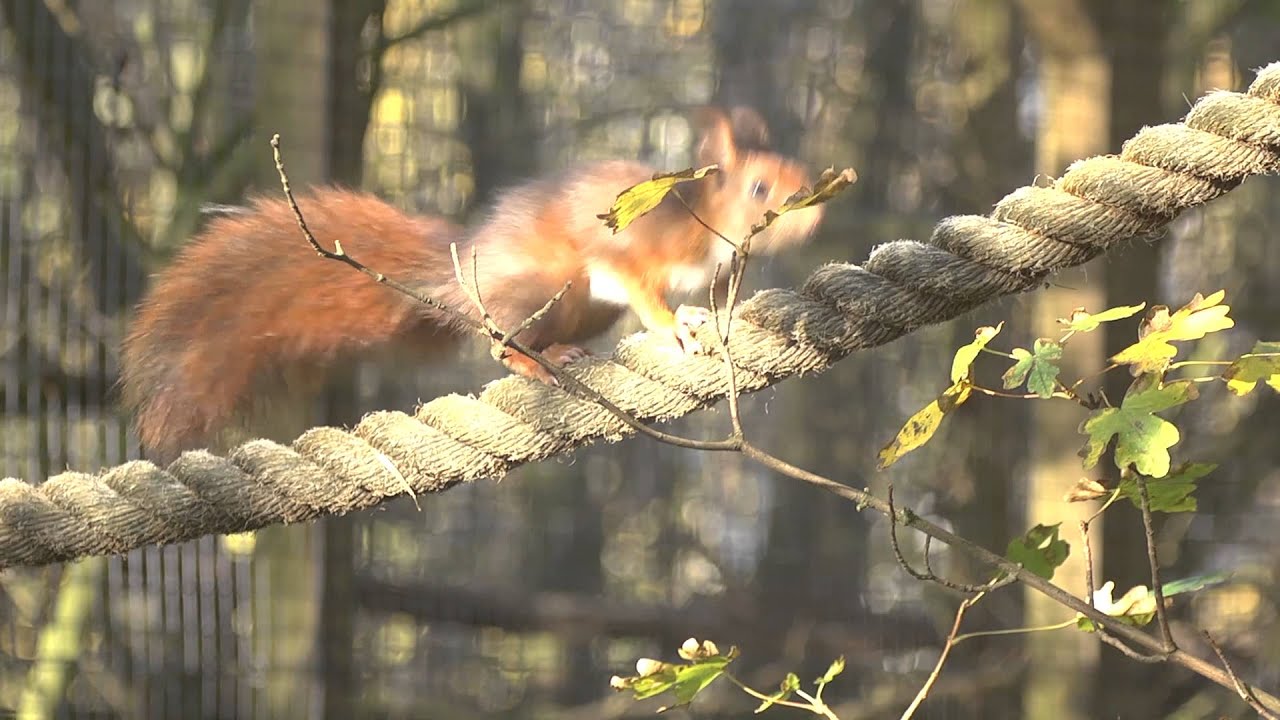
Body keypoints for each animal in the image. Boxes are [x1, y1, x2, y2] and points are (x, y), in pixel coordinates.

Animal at [119, 107, 827, 463]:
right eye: (760, 187)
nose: (815, 213)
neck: (705, 229)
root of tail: (464, 271)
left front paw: (705, 314)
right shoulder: (629, 251)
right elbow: (645, 292)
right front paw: (677, 325)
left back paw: (563, 353)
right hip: (545, 284)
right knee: (499, 344)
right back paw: (538, 362)